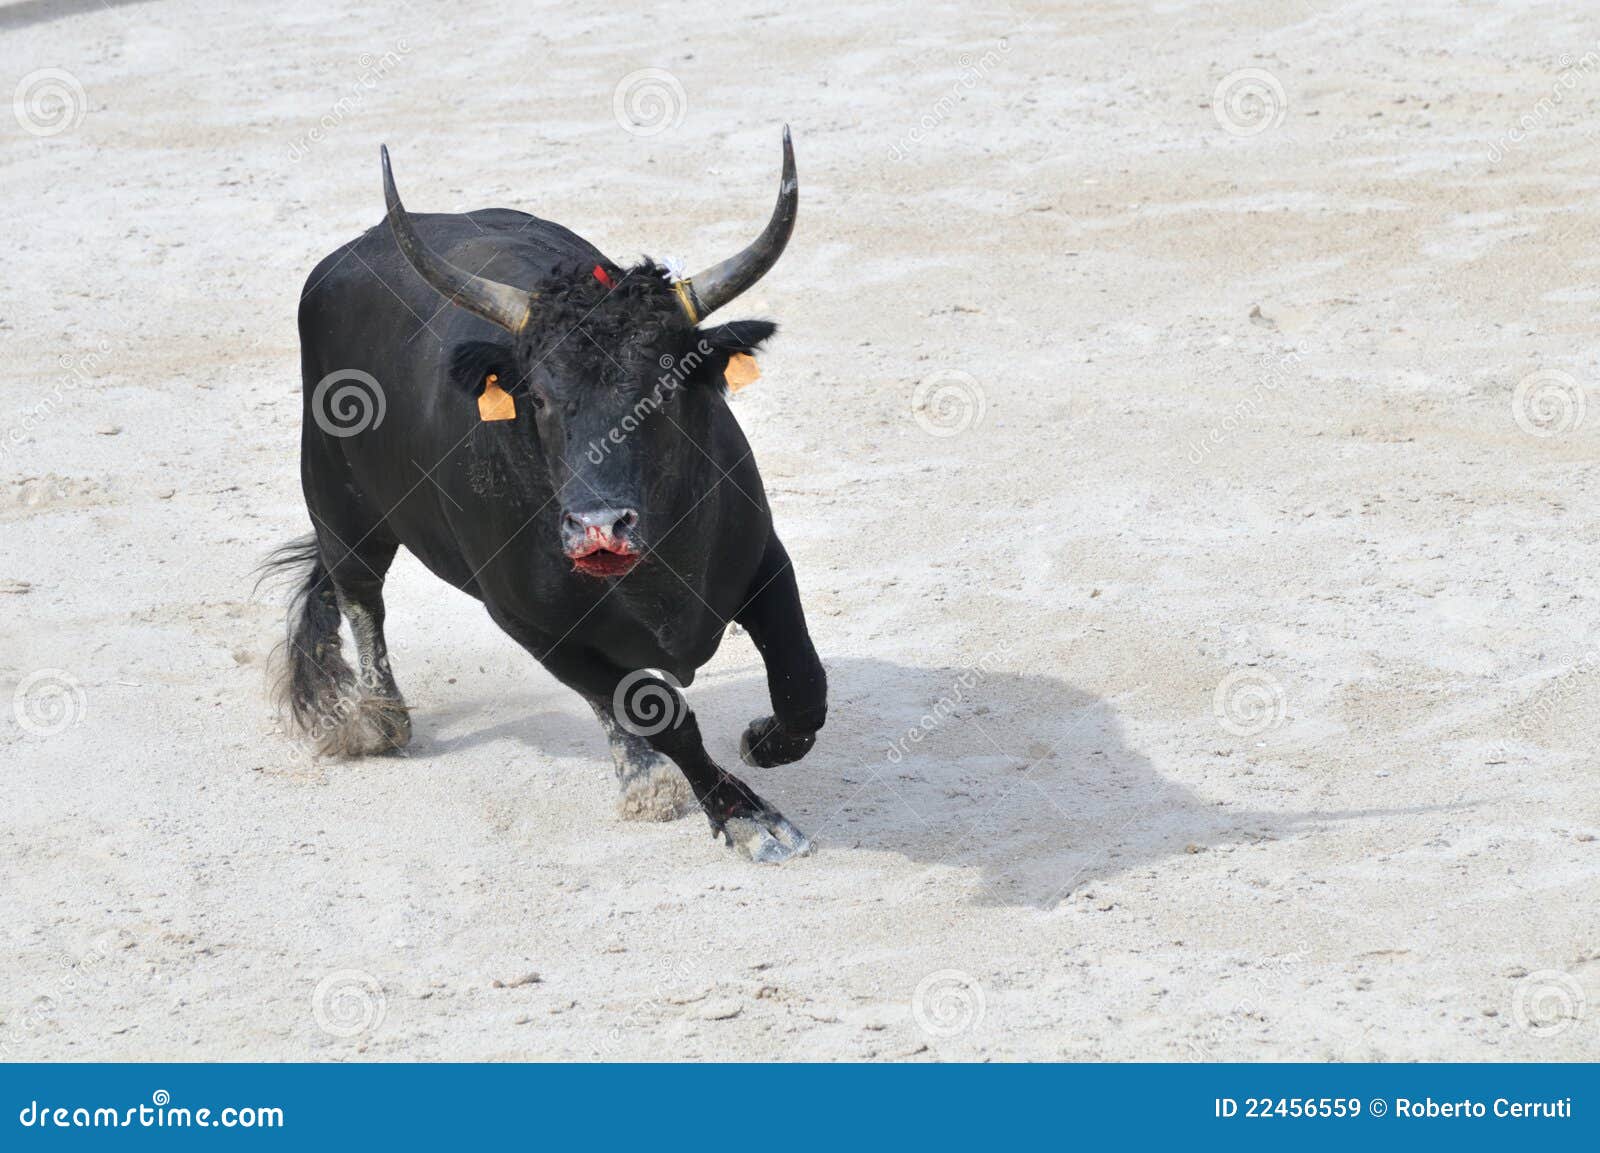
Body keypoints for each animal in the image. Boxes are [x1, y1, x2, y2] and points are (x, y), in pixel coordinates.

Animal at [265, 128, 825, 863]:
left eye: (666, 386)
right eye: (538, 397)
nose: (599, 528)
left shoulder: (765, 557)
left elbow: (801, 682)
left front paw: (762, 740)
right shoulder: (531, 624)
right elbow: (661, 714)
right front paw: (746, 816)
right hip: (337, 501)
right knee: (359, 593)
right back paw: (384, 721)